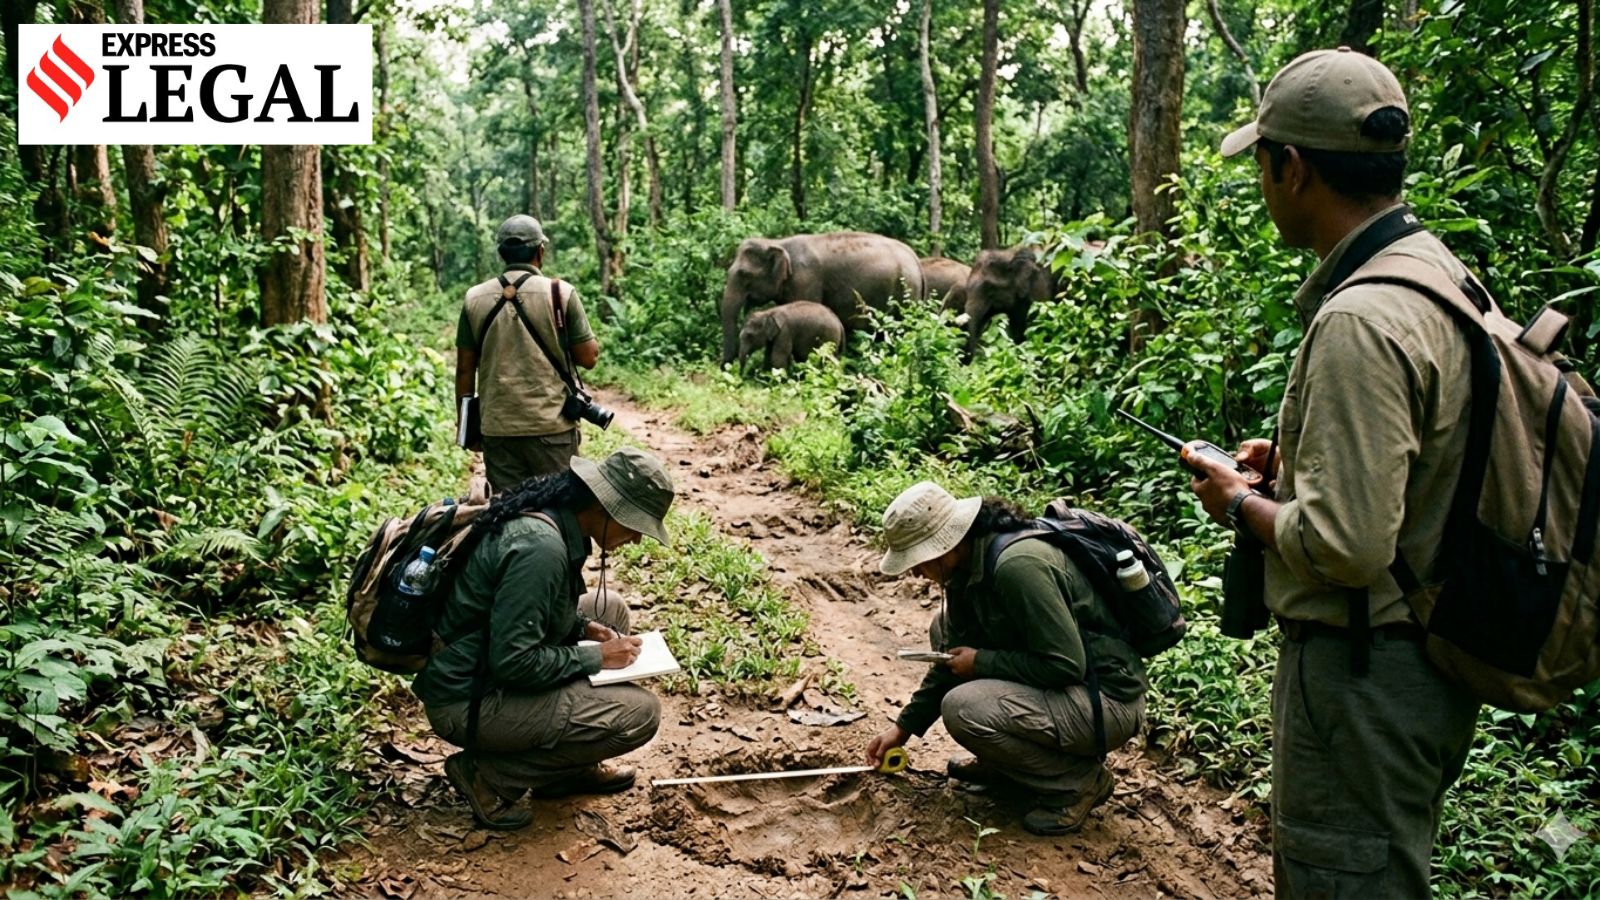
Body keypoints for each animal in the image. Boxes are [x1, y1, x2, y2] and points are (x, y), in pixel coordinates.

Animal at [720, 231, 924, 365]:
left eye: (744, 274)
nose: (727, 368)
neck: (777, 243)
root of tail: (916, 259)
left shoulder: (805, 281)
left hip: (905, 294)